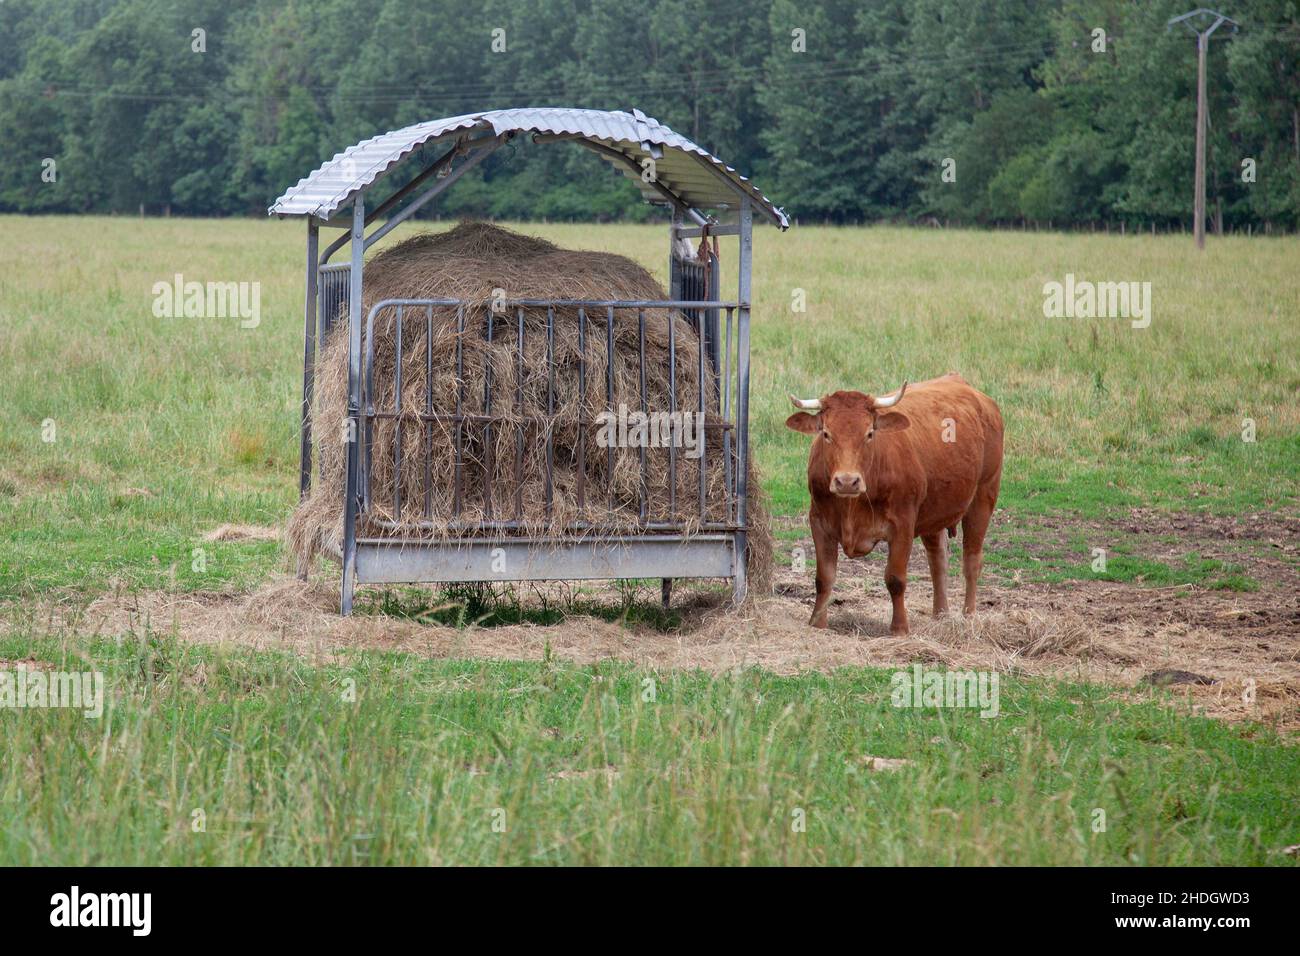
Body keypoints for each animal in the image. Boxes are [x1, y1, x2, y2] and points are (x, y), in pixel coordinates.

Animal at [785, 373, 1003, 634]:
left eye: (870, 433)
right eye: (826, 434)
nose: (847, 481)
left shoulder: (903, 525)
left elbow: (895, 579)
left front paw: (899, 628)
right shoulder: (819, 522)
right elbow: (824, 578)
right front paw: (817, 624)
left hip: (984, 495)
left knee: (971, 560)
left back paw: (968, 616)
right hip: (935, 511)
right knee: (938, 560)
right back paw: (940, 614)